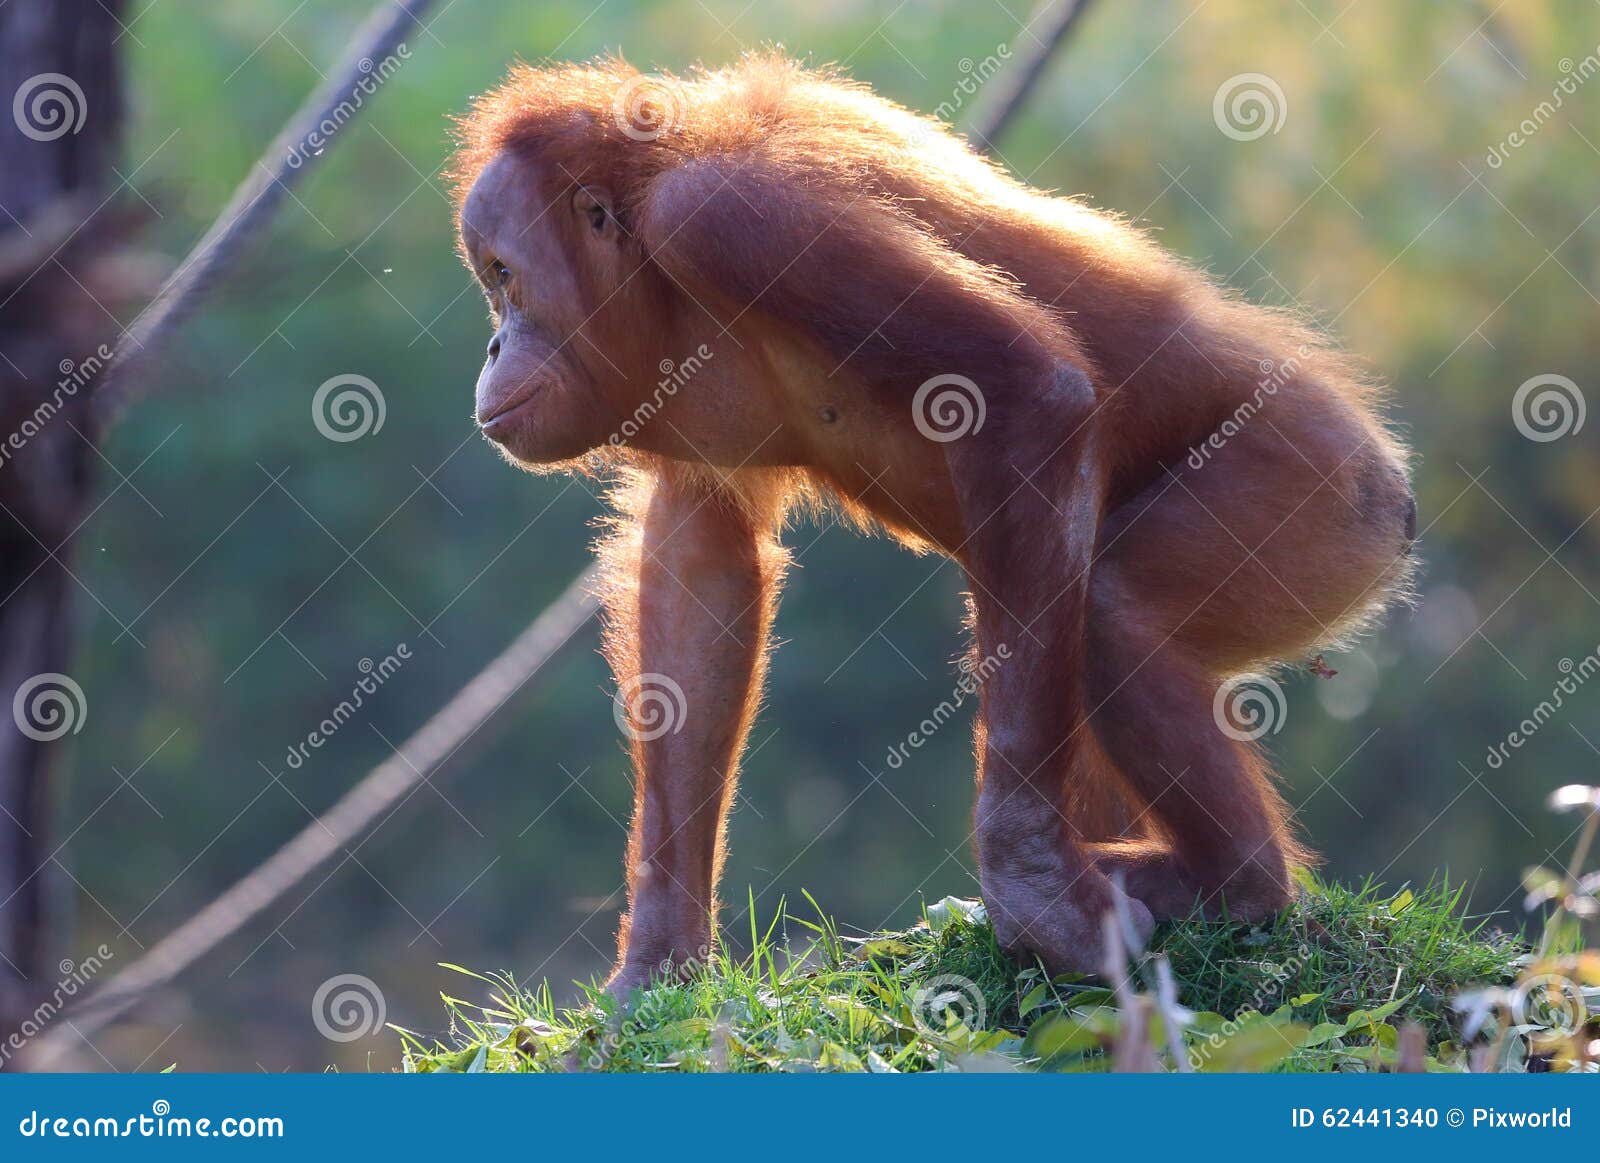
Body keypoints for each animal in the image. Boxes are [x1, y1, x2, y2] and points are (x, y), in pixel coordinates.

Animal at [449, 54, 1416, 994]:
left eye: (503, 278)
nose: (492, 345)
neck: (655, 244)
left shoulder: (731, 219)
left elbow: (1024, 389)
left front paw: (1034, 891)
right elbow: (699, 567)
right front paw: (659, 958)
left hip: (1316, 495)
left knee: (1114, 610)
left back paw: (1234, 881)